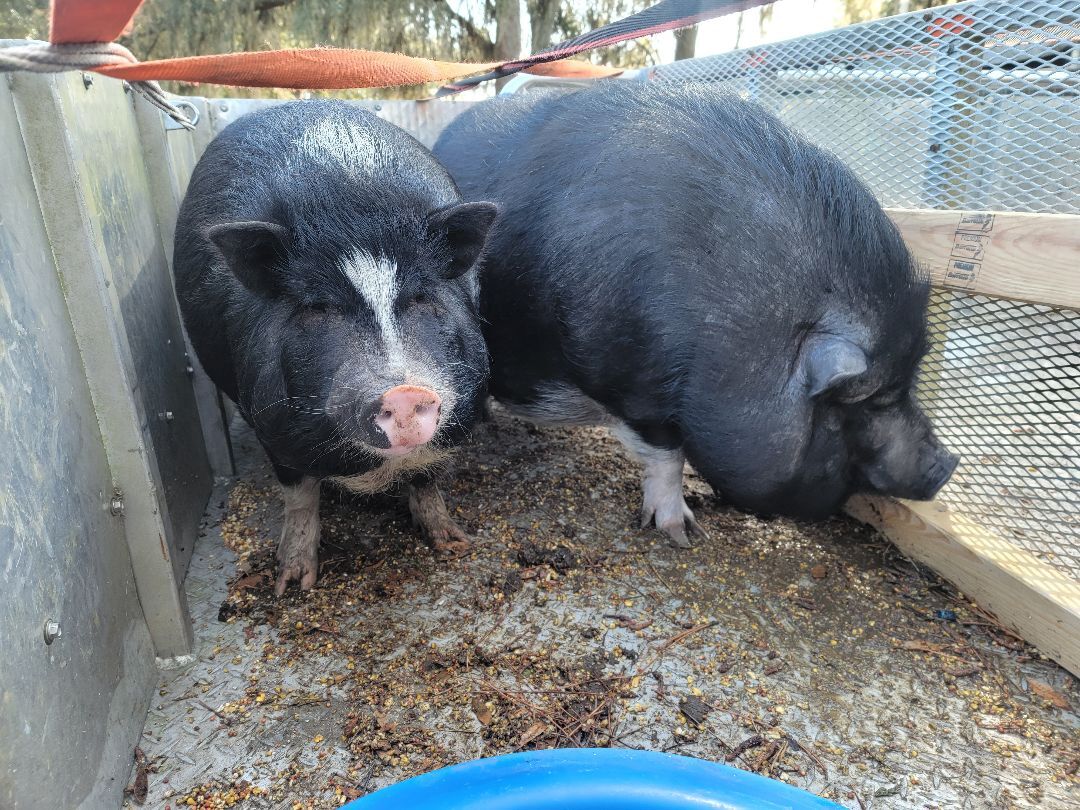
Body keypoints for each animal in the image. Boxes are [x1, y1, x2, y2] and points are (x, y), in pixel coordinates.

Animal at [174, 100, 497, 593]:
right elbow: (300, 496)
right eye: (316, 307)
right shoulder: (273, 427)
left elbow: (426, 480)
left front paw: (454, 543)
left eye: (422, 297)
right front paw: (292, 583)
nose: (405, 393)